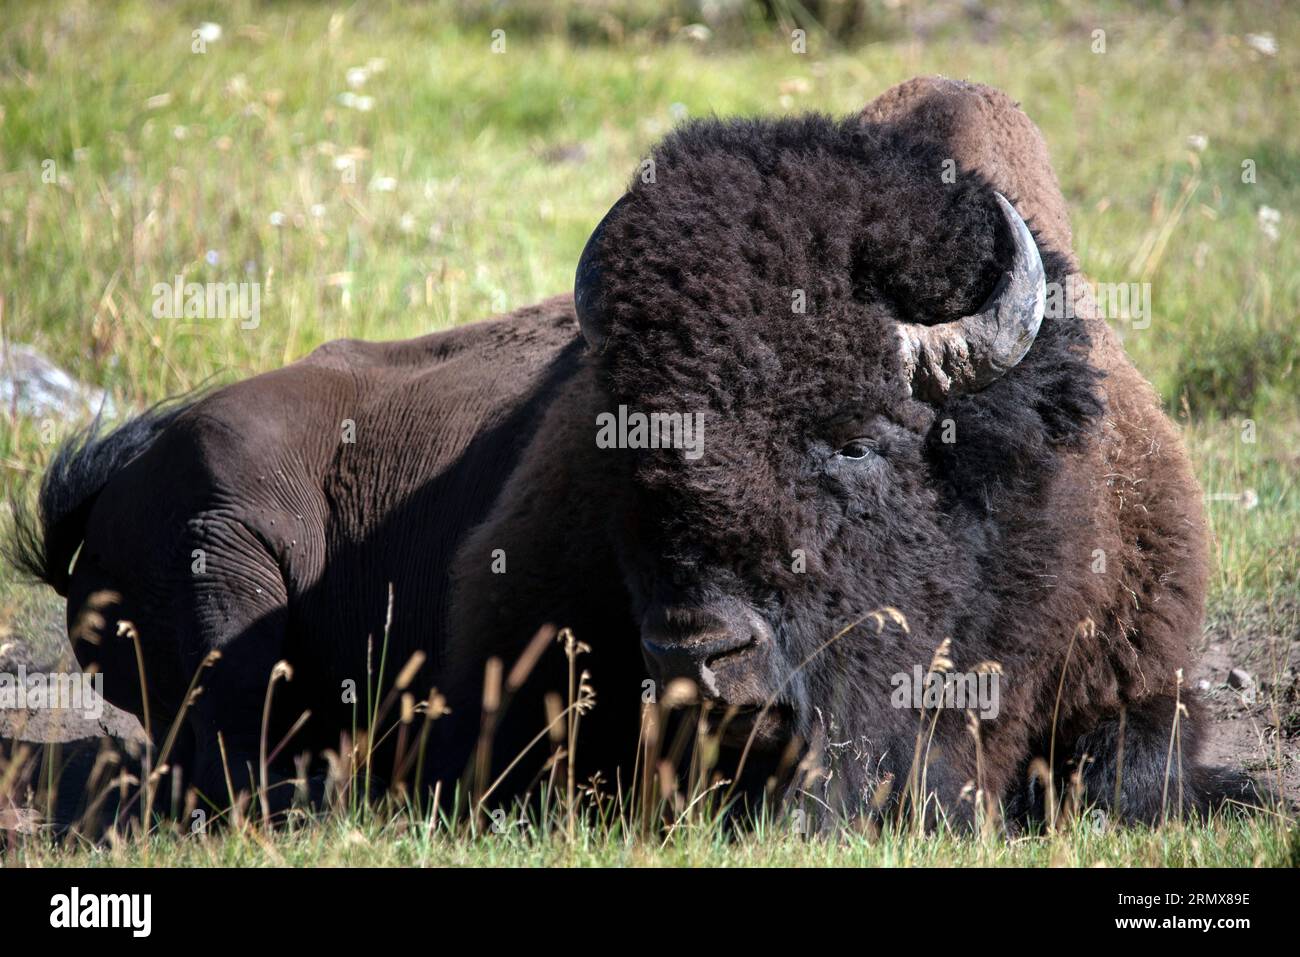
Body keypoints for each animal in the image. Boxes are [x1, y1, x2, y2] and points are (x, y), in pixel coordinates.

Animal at [7, 77, 1256, 826]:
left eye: (860, 441)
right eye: (626, 449)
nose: (700, 651)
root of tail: (109, 491)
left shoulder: (1137, 685)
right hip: (222, 557)